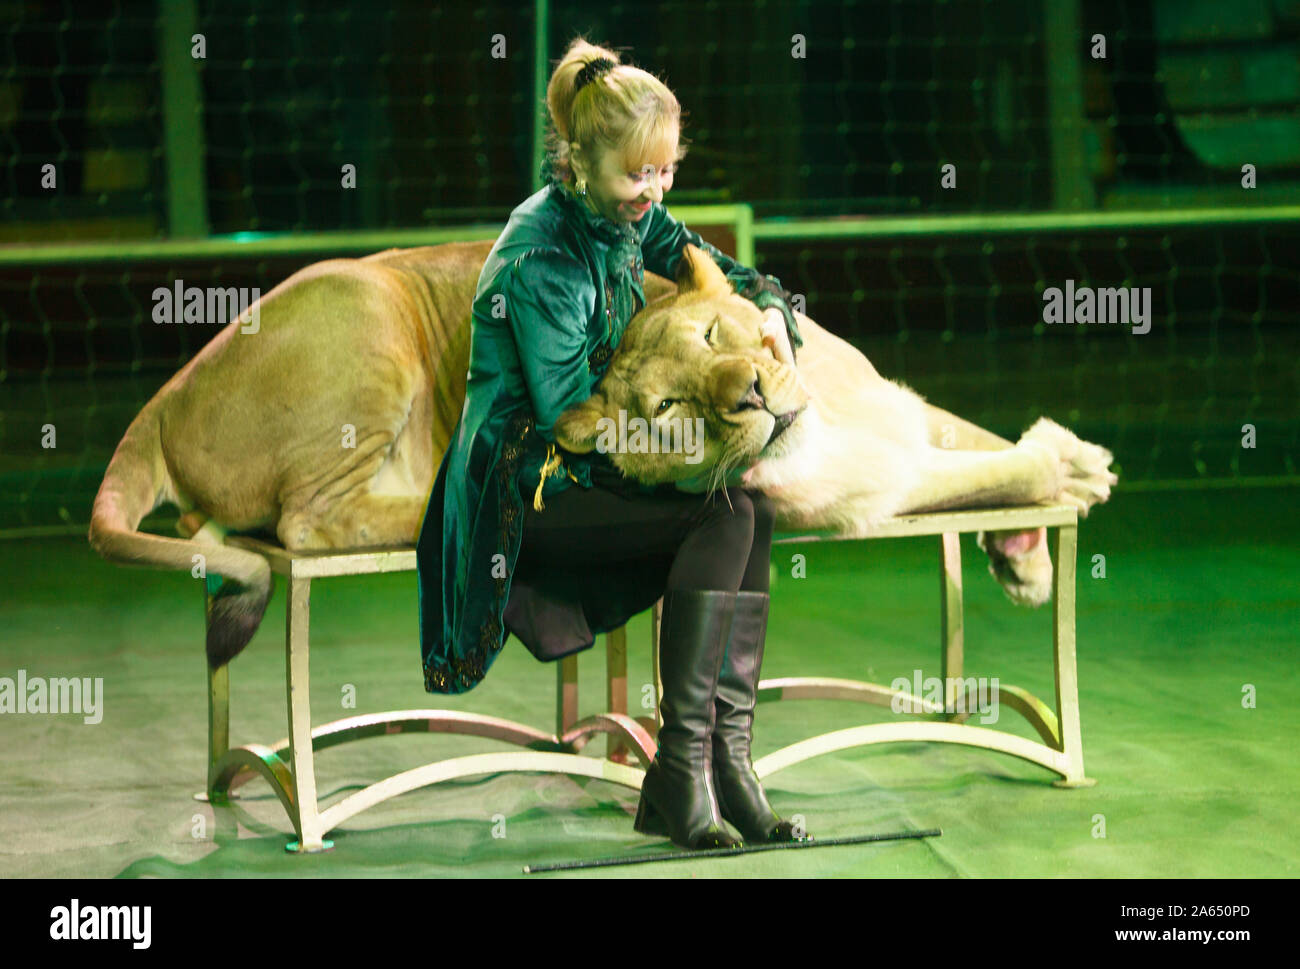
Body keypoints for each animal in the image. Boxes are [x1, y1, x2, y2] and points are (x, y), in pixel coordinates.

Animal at [89, 240, 1115, 670]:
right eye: (669, 409)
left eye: (718, 333)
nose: (751, 391)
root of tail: (163, 396)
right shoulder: (861, 486)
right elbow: (982, 467)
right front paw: (1070, 471)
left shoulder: (890, 408)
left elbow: (967, 433)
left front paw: (1027, 557)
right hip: (367, 316)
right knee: (308, 521)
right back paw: (466, 507)